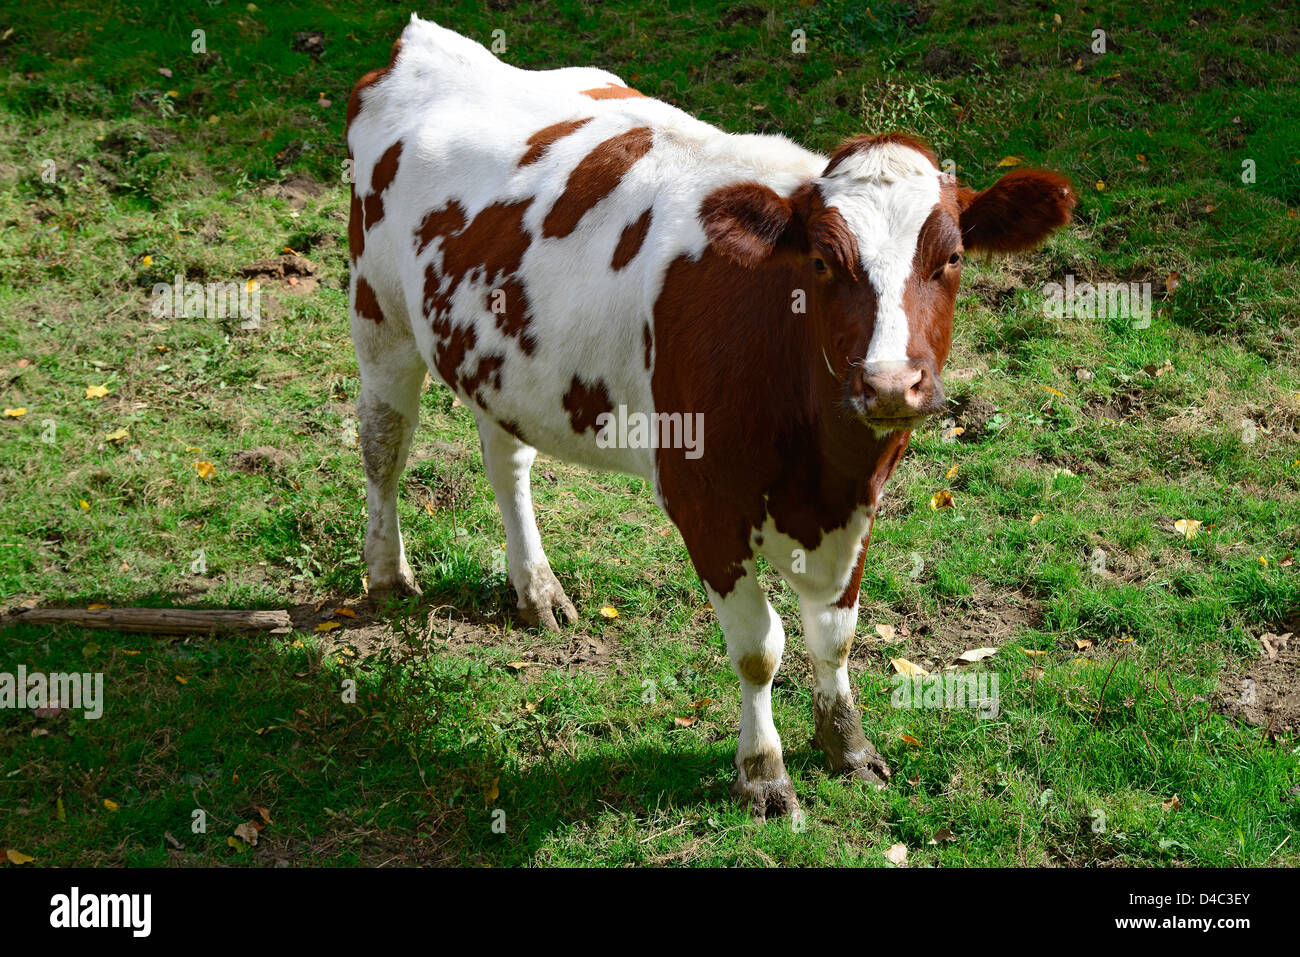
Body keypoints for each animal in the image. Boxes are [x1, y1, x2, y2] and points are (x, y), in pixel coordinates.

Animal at [346, 16, 1075, 819]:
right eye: (823, 261)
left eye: (950, 258)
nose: (891, 384)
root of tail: (424, 42)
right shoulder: (704, 501)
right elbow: (760, 647)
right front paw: (764, 772)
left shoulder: (858, 502)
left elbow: (834, 633)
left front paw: (847, 743)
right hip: (379, 313)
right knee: (383, 443)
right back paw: (387, 573)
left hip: (500, 362)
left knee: (506, 460)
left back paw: (536, 587)